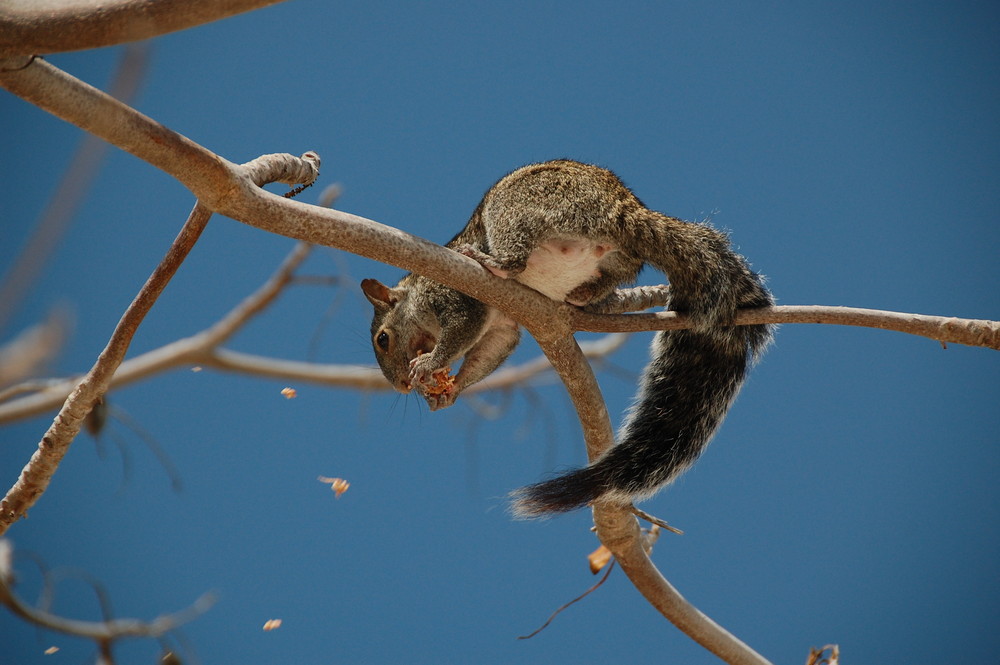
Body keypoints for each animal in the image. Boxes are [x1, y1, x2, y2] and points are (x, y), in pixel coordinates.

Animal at [362, 158, 772, 516]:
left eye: (382, 339)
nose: (401, 385)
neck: (417, 291)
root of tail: (622, 210)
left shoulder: (456, 296)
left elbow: (461, 329)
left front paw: (430, 364)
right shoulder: (502, 325)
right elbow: (490, 352)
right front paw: (452, 389)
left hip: (520, 204)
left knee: (516, 254)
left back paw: (495, 263)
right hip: (611, 256)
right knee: (616, 270)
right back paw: (583, 294)